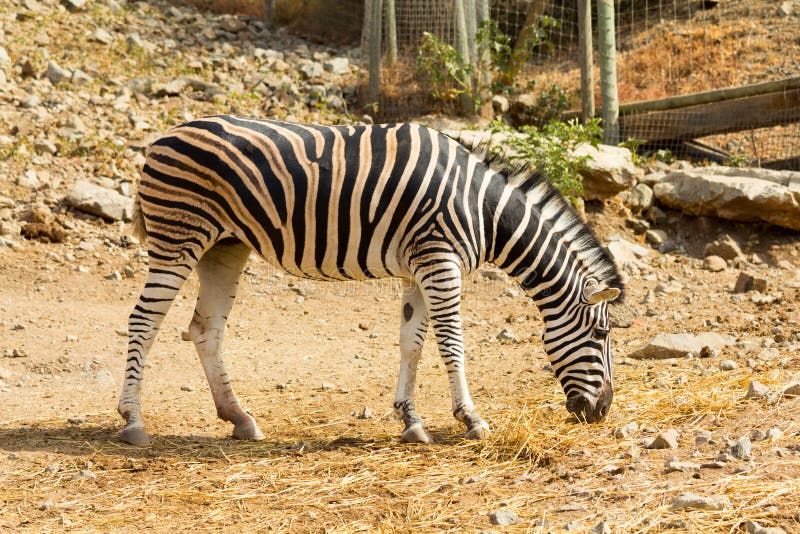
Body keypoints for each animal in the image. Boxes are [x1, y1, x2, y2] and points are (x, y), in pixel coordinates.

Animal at [118, 115, 623, 446]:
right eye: (601, 333)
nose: (601, 412)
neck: (484, 209)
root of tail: (164, 136)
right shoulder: (441, 262)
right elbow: (452, 344)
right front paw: (471, 420)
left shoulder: (419, 269)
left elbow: (411, 344)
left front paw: (411, 421)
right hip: (179, 238)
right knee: (143, 321)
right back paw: (133, 422)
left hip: (224, 247)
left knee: (206, 329)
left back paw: (240, 419)